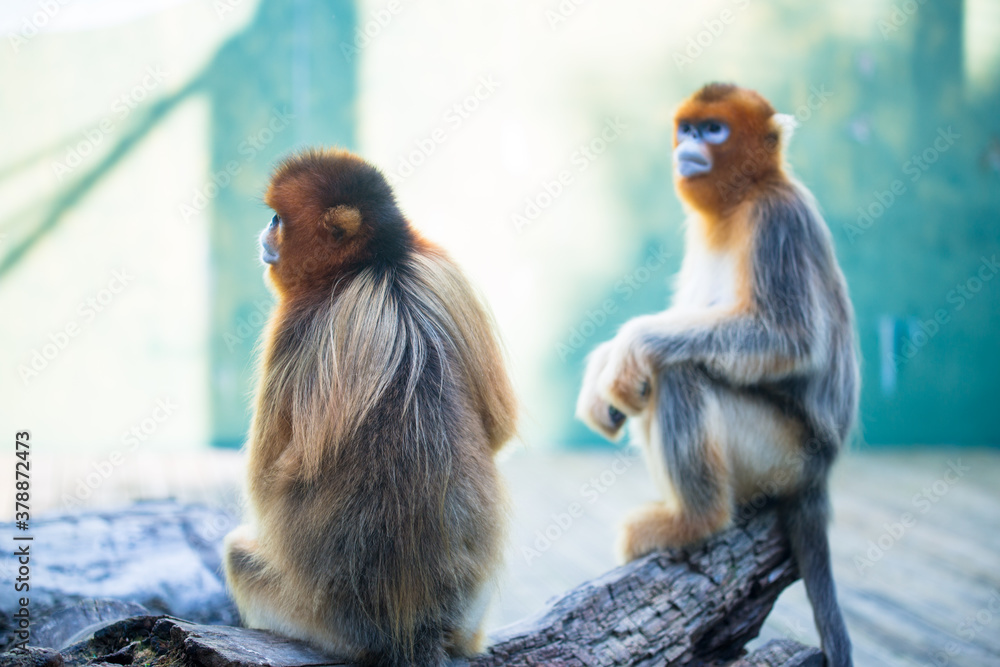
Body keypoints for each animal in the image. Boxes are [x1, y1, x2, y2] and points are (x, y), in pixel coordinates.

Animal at [223, 148, 518, 667]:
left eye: (277, 219)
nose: (264, 235)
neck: (377, 264)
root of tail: (414, 628)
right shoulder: (445, 266)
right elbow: (499, 425)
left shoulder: (294, 324)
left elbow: (264, 484)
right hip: (467, 615)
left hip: (321, 619)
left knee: (239, 555)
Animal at [576, 83, 858, 667]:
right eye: (687, 129)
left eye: (713, 130)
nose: (689, 145)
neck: (744, 199)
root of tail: (821, 469)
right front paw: (603, 366)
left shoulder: (776, 220)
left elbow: (788, 338)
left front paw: (631, 342)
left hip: (782, 453)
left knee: (679, 370)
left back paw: (694, 521)